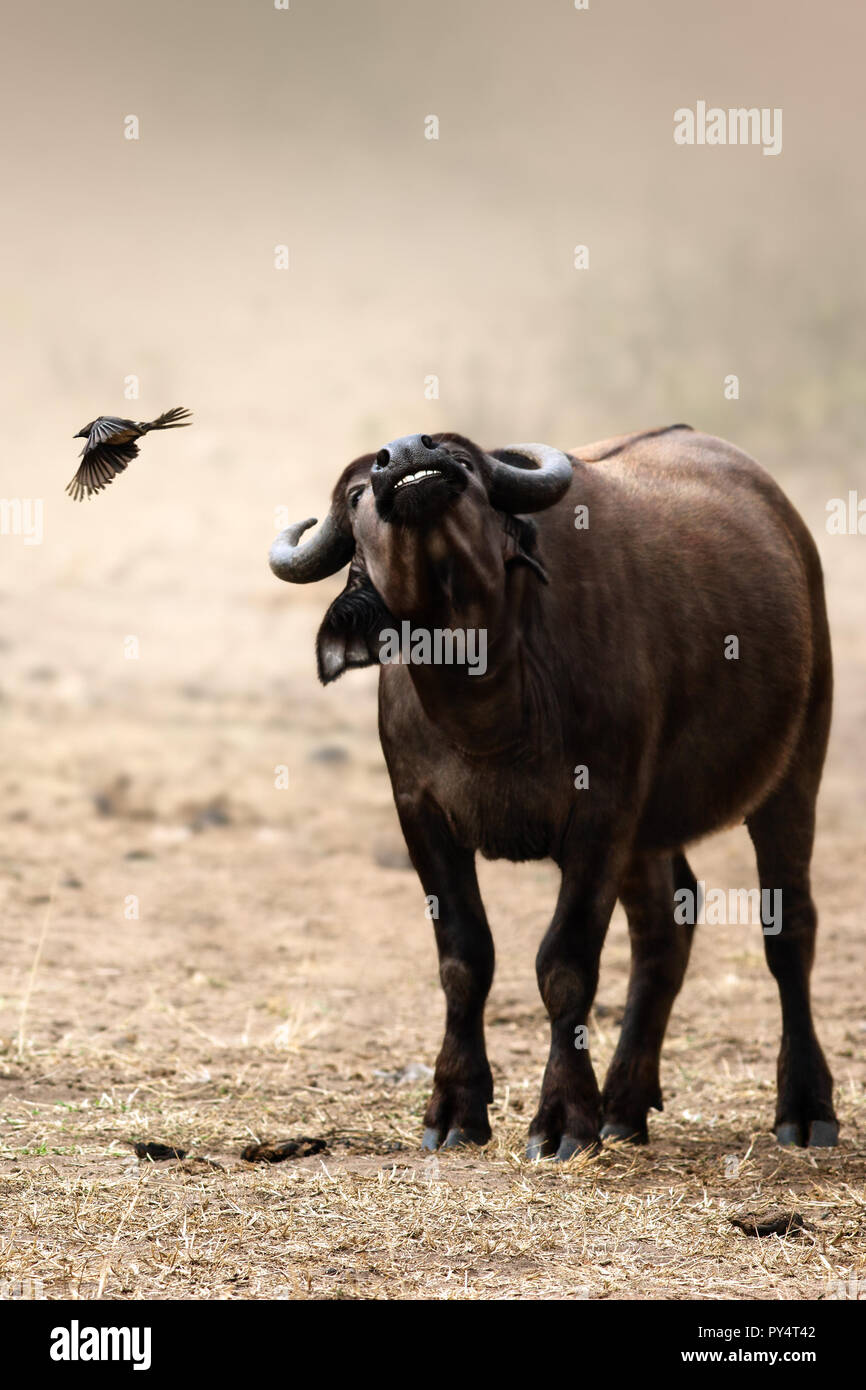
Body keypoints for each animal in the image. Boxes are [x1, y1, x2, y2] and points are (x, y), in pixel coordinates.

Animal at [269, 426, 838, 1158]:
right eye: (360, 493)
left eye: (462, 460)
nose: (409, 453)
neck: (489, 702)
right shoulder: (421, 817)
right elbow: (464, 957)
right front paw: (455, 1108)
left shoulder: (602, 815)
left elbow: (565, 963)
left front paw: (565, 1118)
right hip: (651, 834)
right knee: (665, 929)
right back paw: (625, 1105)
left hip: (795, 768)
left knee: (789, 928)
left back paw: (805, 1107)